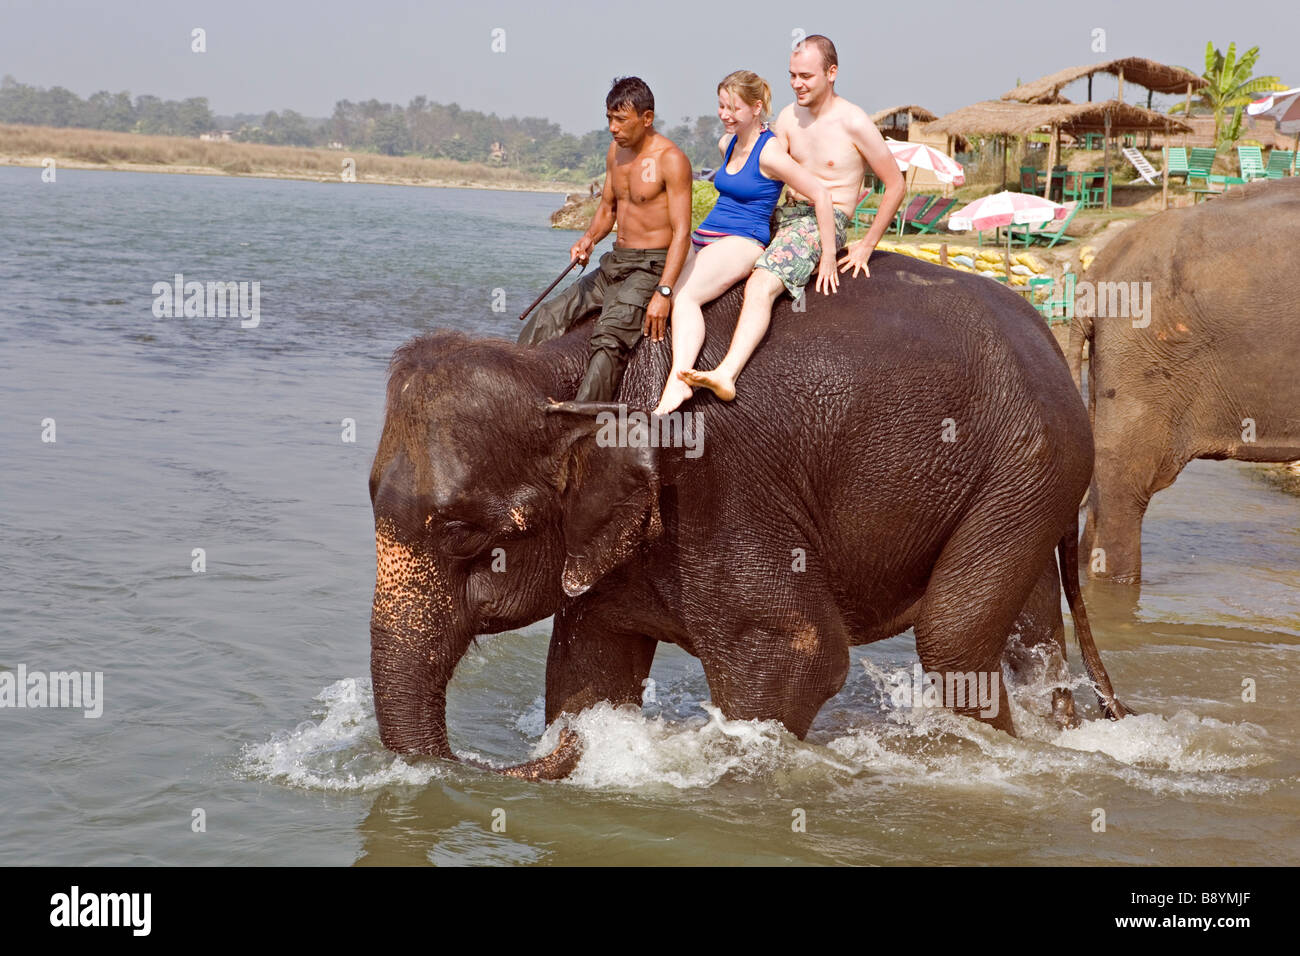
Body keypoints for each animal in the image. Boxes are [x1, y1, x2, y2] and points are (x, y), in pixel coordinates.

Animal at [369, 251, 1130, 781]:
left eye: (460, 532)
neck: (569, 366)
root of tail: (1052, 342)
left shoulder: (719, 484)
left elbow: (795, 650)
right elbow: (592, 658)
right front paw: (591, 730)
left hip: (1030, 462)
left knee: (952, 639)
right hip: (1028, 483)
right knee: (1026, 634)